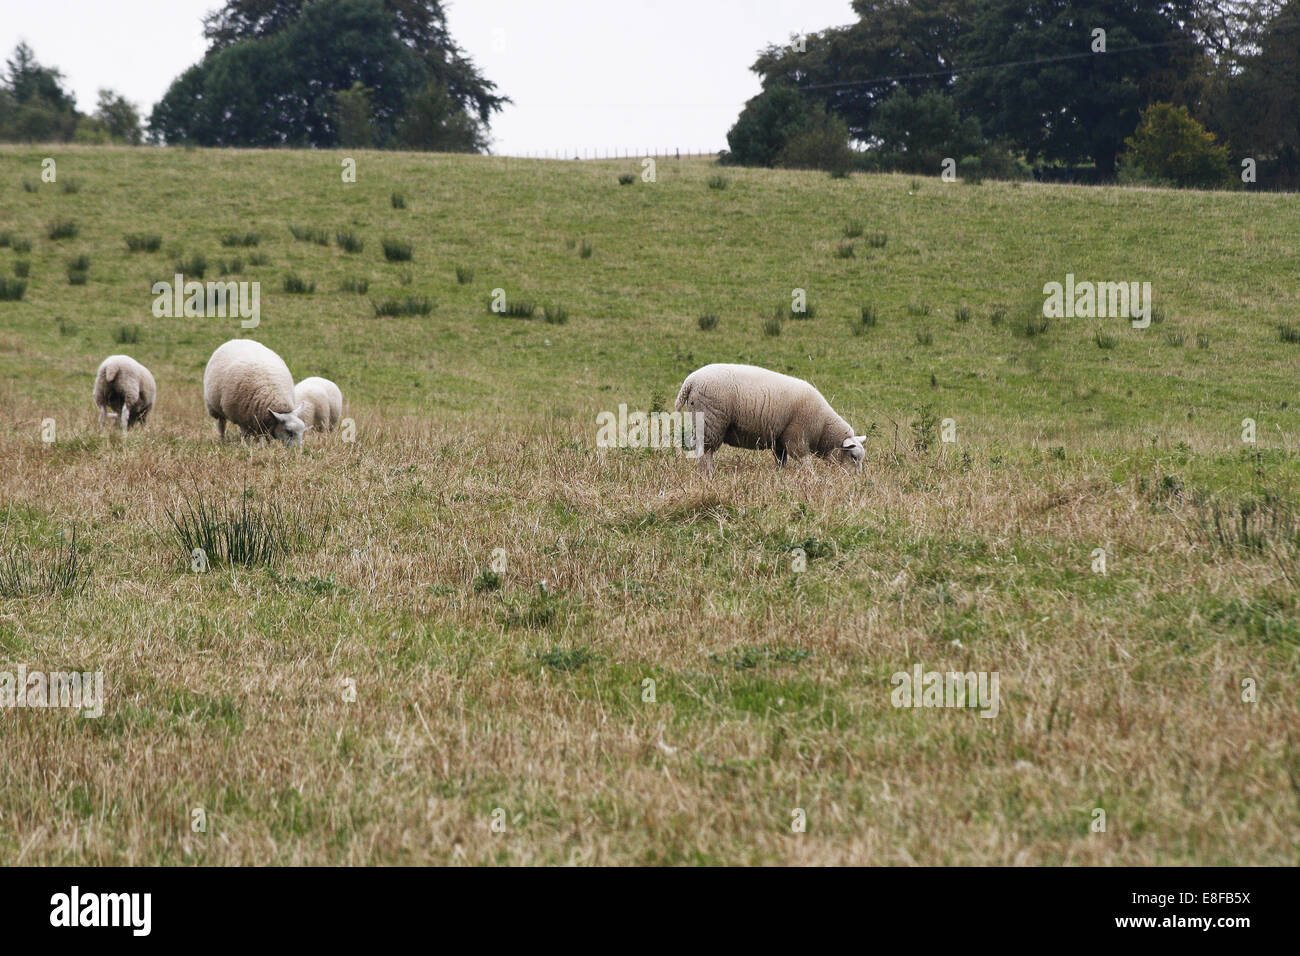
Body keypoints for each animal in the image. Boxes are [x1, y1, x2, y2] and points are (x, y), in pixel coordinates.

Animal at [675, 363, 866, 472]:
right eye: (853, 456)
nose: (855, 479)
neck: (823, 427)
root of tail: (690, 381)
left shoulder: (780, 440)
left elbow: (781, 460)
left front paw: (780, 475)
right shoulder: (796, 436)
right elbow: (805, 460)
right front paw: (811, 477)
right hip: (711, 420)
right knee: (705, 451)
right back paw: (709, 473)